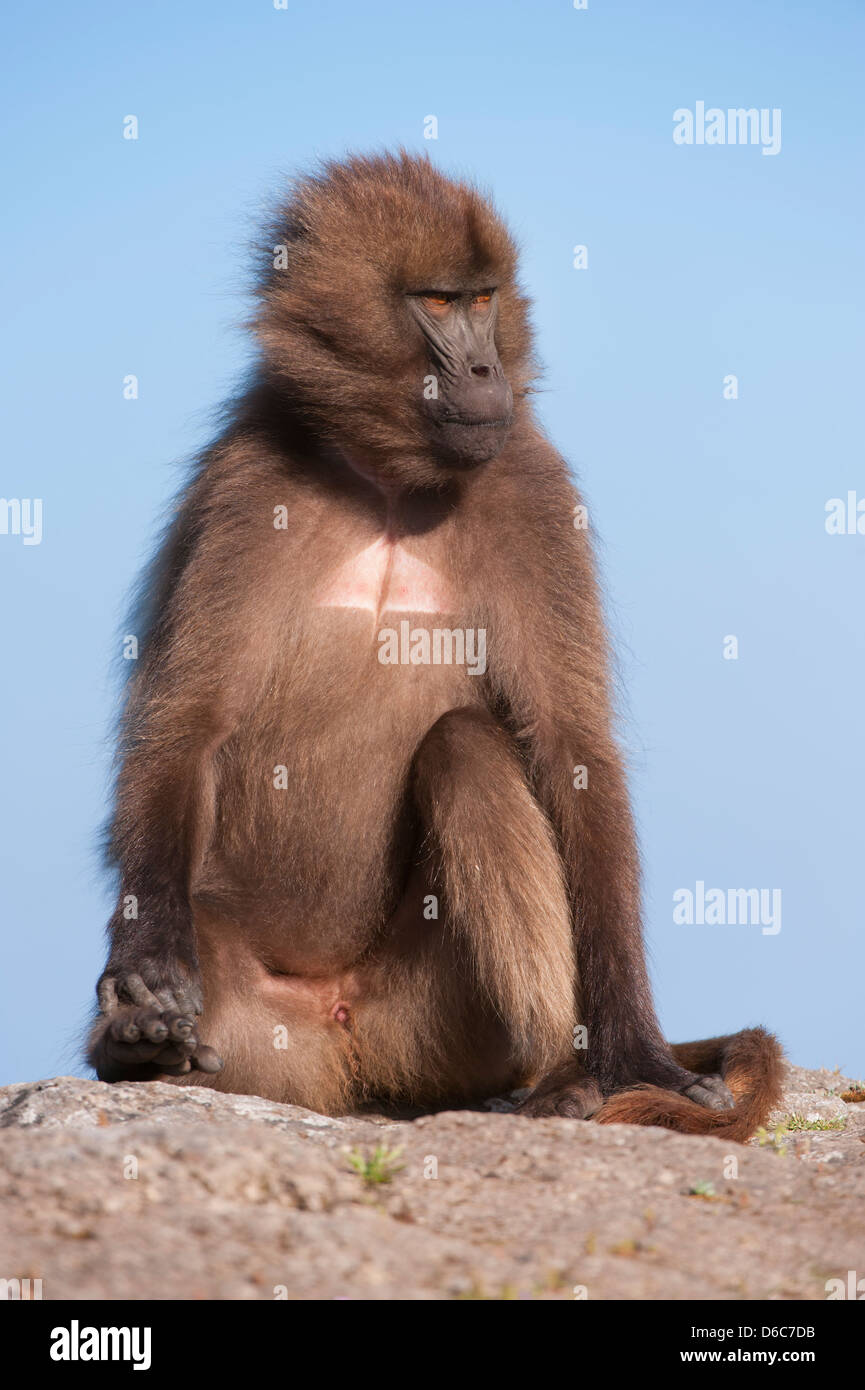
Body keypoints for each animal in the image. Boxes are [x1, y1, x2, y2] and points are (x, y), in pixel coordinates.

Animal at [87, 151, 782, 1142]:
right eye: (438, 302)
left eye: (483, 298)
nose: (487, 367)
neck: (388, 482)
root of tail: (345, 1042)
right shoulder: (244, 480)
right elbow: (188, 724)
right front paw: (146, 982)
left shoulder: (530, 481)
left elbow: (568, 746)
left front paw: (632, 1059)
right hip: (268, 1040)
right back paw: (139, 1050)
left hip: (439, 1028)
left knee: (466, 746)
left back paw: (558, 1079)